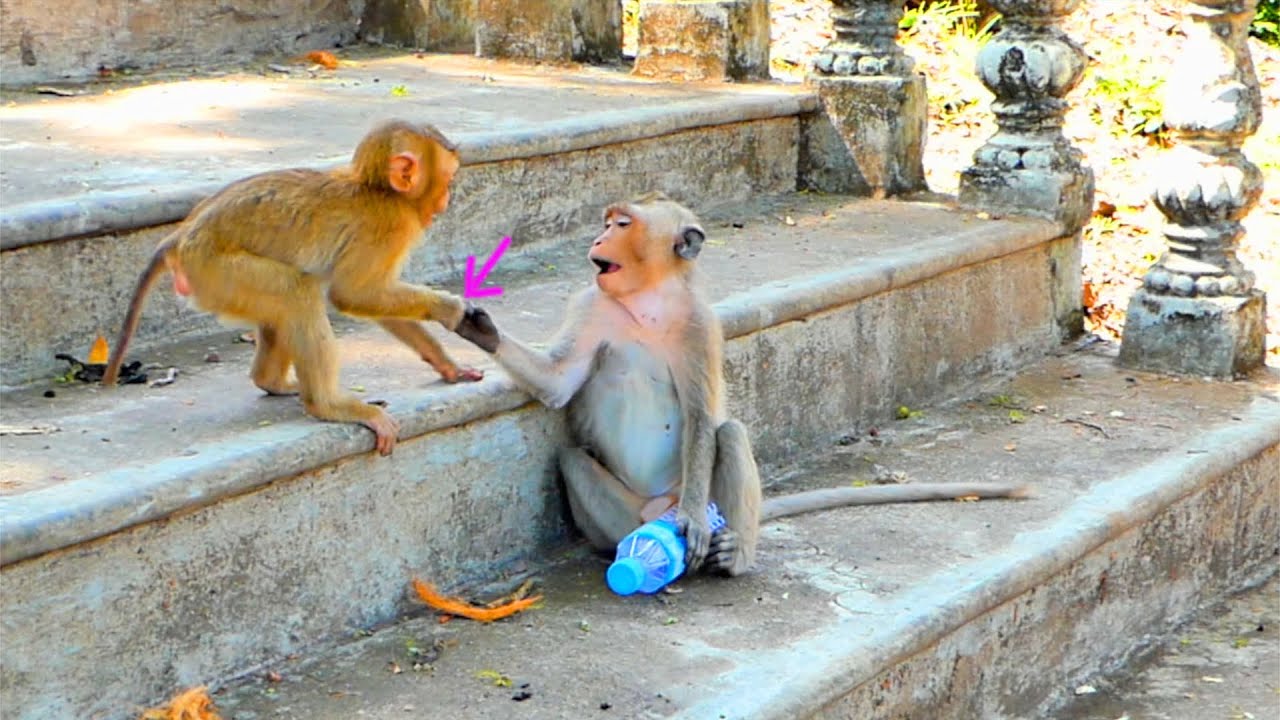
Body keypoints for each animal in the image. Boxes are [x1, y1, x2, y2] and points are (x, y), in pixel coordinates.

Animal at [102, 119, 482, 456]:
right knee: (297, 292)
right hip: (217, 272)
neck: (378, 190)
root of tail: (180, 237)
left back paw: (271, 381)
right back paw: (327, 404)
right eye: (448, 178)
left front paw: (446, 363)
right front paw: (451, 309)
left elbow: (375, 300)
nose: (447, 199)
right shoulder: (390, 227)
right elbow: (353, 294)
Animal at [456, 192, 1027, 577]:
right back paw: (635, 551)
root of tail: (652, 509)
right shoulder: (591, 305)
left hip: (694, 488)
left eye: (621, 223)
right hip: (622, 511)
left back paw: (727, 551)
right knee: (574, 459)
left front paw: (690, 522)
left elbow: (703, 417)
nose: (597, 238)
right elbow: (557, 383)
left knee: (728, 435)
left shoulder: (699, 327)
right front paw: (476, 327)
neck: (647, 302)